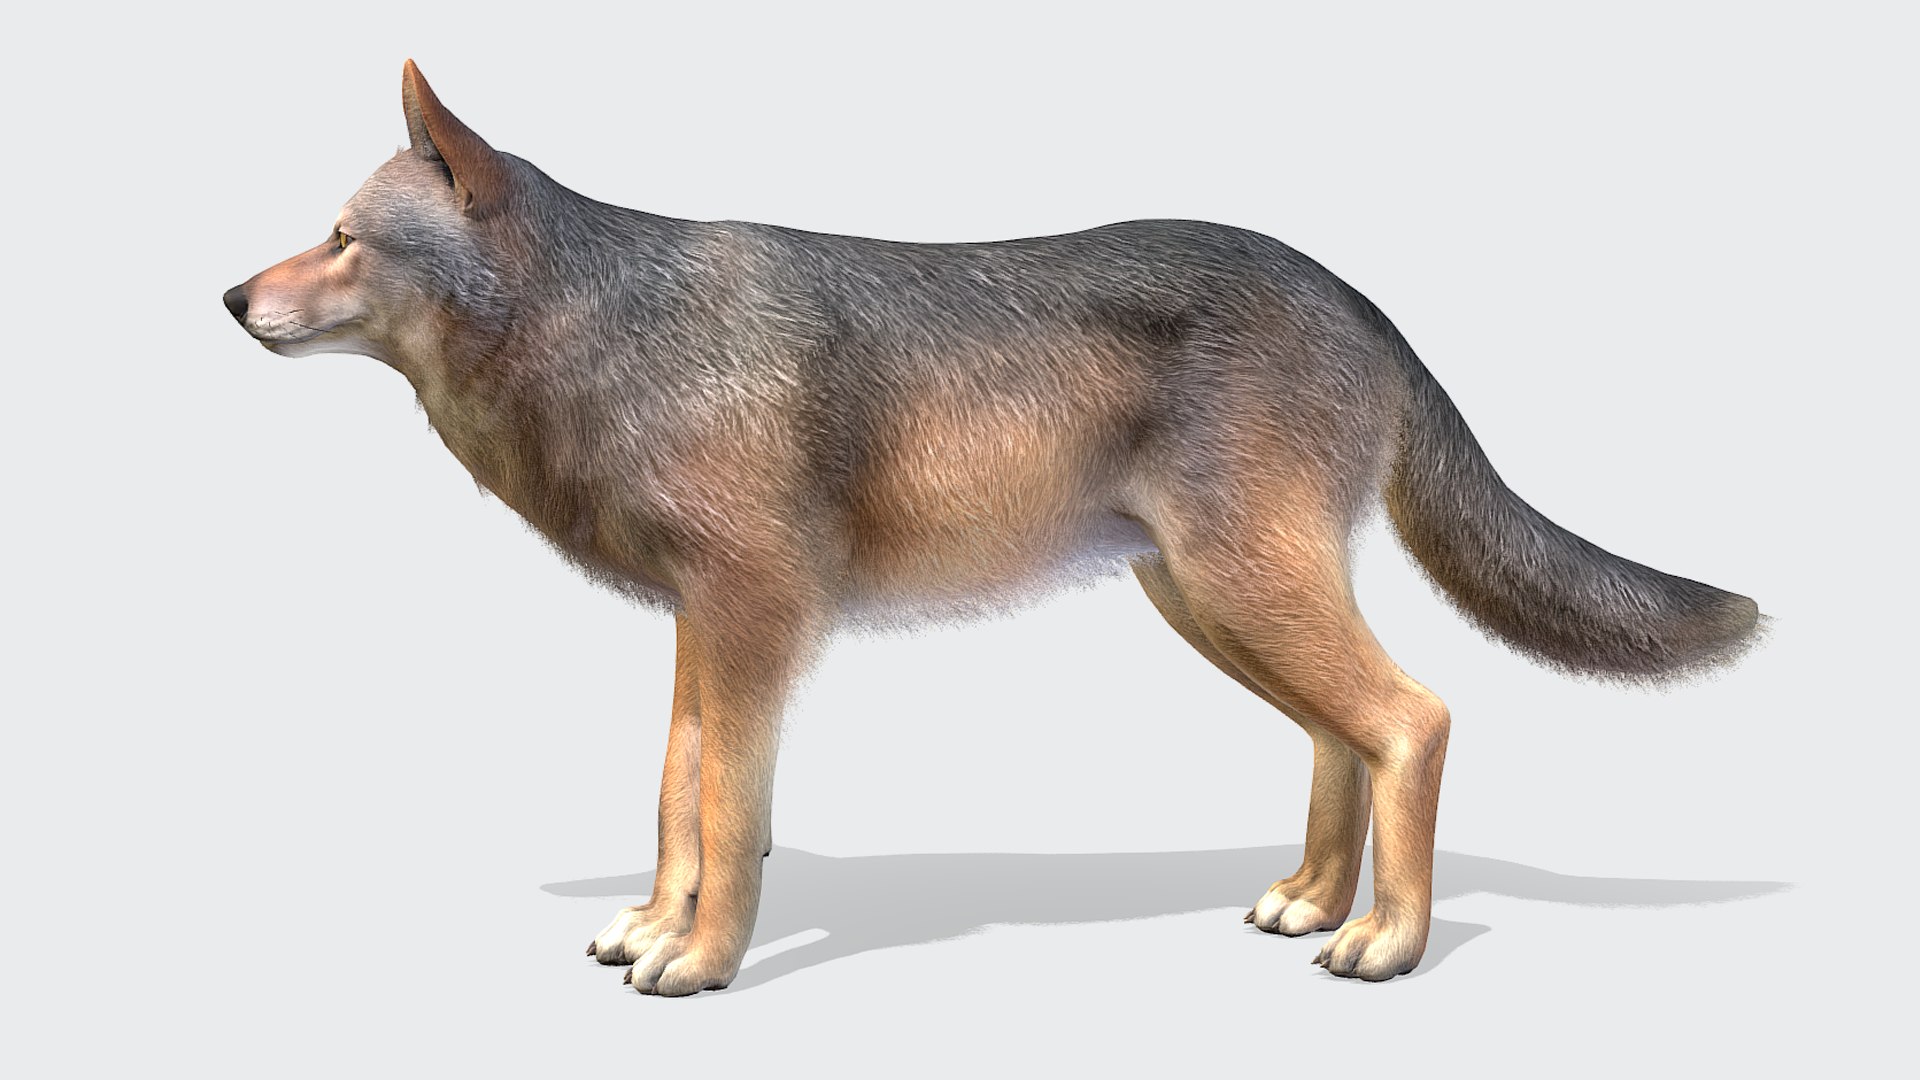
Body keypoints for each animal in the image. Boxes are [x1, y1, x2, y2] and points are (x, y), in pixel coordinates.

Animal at [223, 60, 1761, 993]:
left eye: (344, 236)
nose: (230, 298)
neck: (602, 325)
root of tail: (1353, 293)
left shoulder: (754, 621)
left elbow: (722, 811)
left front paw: (703, 963)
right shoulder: (701, 630)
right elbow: (676, 799)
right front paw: (660, 927)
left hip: (1239, 593)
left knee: (1416, 718)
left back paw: (1385, 941)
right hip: (1211, 604)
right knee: (1348, 735)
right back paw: (1316, 902)